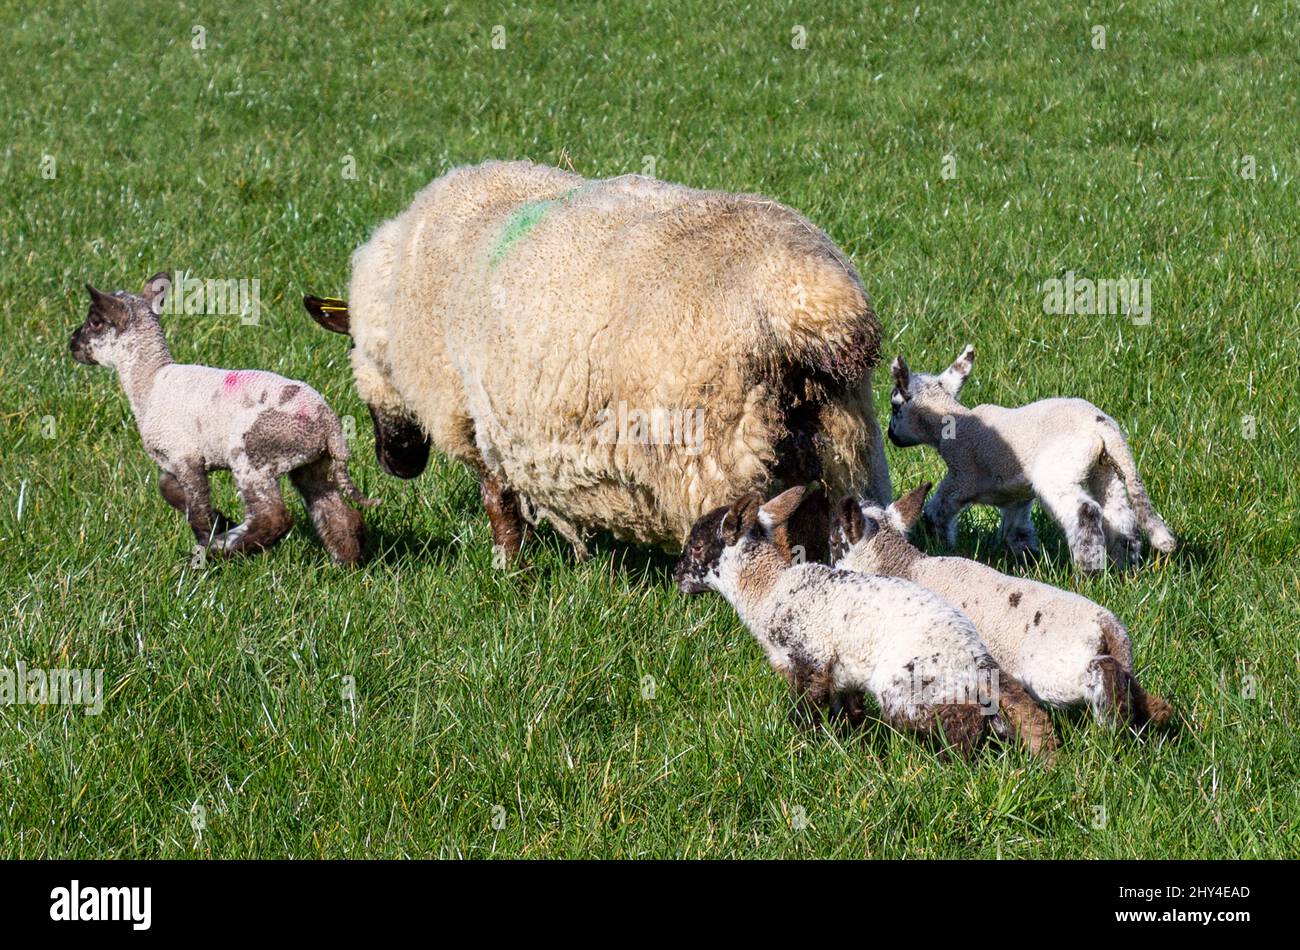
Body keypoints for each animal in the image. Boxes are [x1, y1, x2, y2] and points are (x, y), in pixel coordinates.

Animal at [70, 274, 376, 565]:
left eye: (95, 321)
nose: (71, 343)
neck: (150, 381)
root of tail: (330, 428)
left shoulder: (186, 456)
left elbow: (198, 510)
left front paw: (209, 537)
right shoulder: (173, 459)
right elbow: (168, 489)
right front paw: (222, 520)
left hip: (253, 454)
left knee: (274, 517)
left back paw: (221, 550)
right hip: (311, 463)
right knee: (337, 513)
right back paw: (344, 563)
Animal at [304, 159, 892, 564]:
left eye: (352, 349)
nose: (395, 462)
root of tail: (810, 299)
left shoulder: (469, 413)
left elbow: (498, 502)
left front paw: (507, 569)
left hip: (715, 449)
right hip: (844, 443)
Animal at [674, 486, 1059, 759]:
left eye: (696, 548)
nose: (677, 579)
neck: (769, 590)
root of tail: (978, 660)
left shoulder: (810, 659)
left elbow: (804, 714)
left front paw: (802, 749)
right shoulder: (842, 674)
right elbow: (849, 713)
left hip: (911, 688)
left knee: (961, 731)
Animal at [886, 344, 1176, 572]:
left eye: (894, 406)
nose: (890, 435)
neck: (951, 423)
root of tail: (1103, 425)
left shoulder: (961, 476)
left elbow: (936, 512)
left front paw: (941, 545)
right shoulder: (1017, 497)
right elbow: (1018, 533)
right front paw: (1029, 563)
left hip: (1058, 468)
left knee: (1086, 511)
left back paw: (1089, 569)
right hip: (1107, 469)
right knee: (1119, 515)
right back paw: (1125, 567)